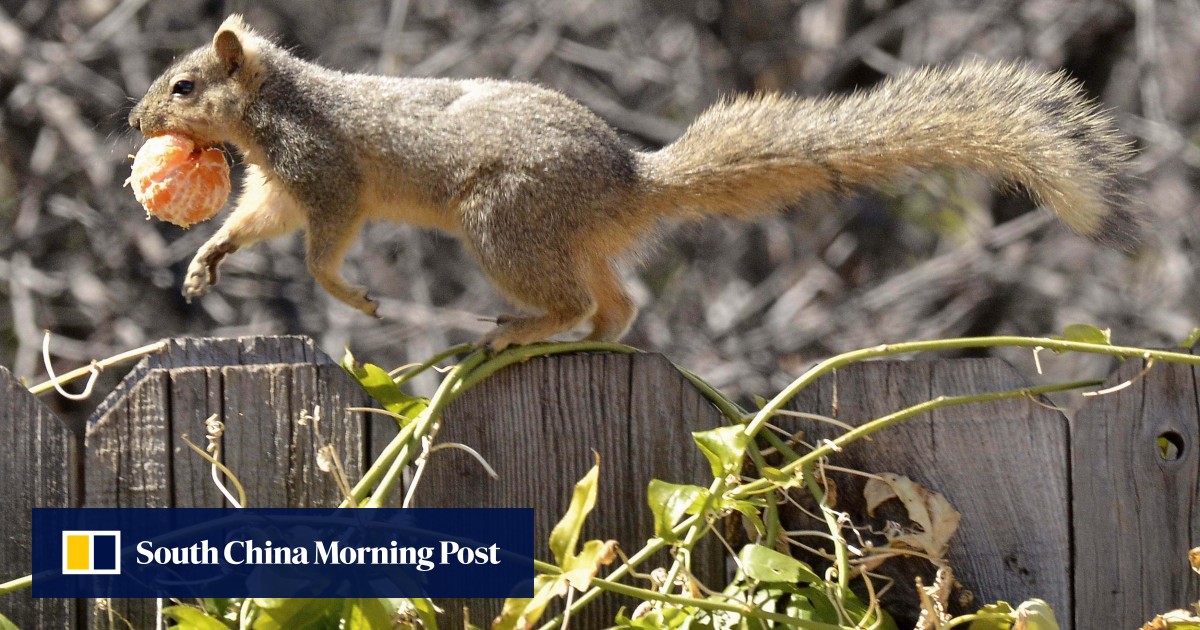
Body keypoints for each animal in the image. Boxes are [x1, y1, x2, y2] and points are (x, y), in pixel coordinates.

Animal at [129, 15, 1136, 350]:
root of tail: (630, 183)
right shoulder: (281, 185)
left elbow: (320, 245)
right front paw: (207, 261)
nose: (137, 123)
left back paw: (522, 329)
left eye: (184, 86)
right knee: (617, 303)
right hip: (566, 238)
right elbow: (258, 220)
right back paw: (585, 337)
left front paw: (351, 295)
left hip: (503, 224)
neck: (278, 97)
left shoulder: (323, 171)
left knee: (575, 299)